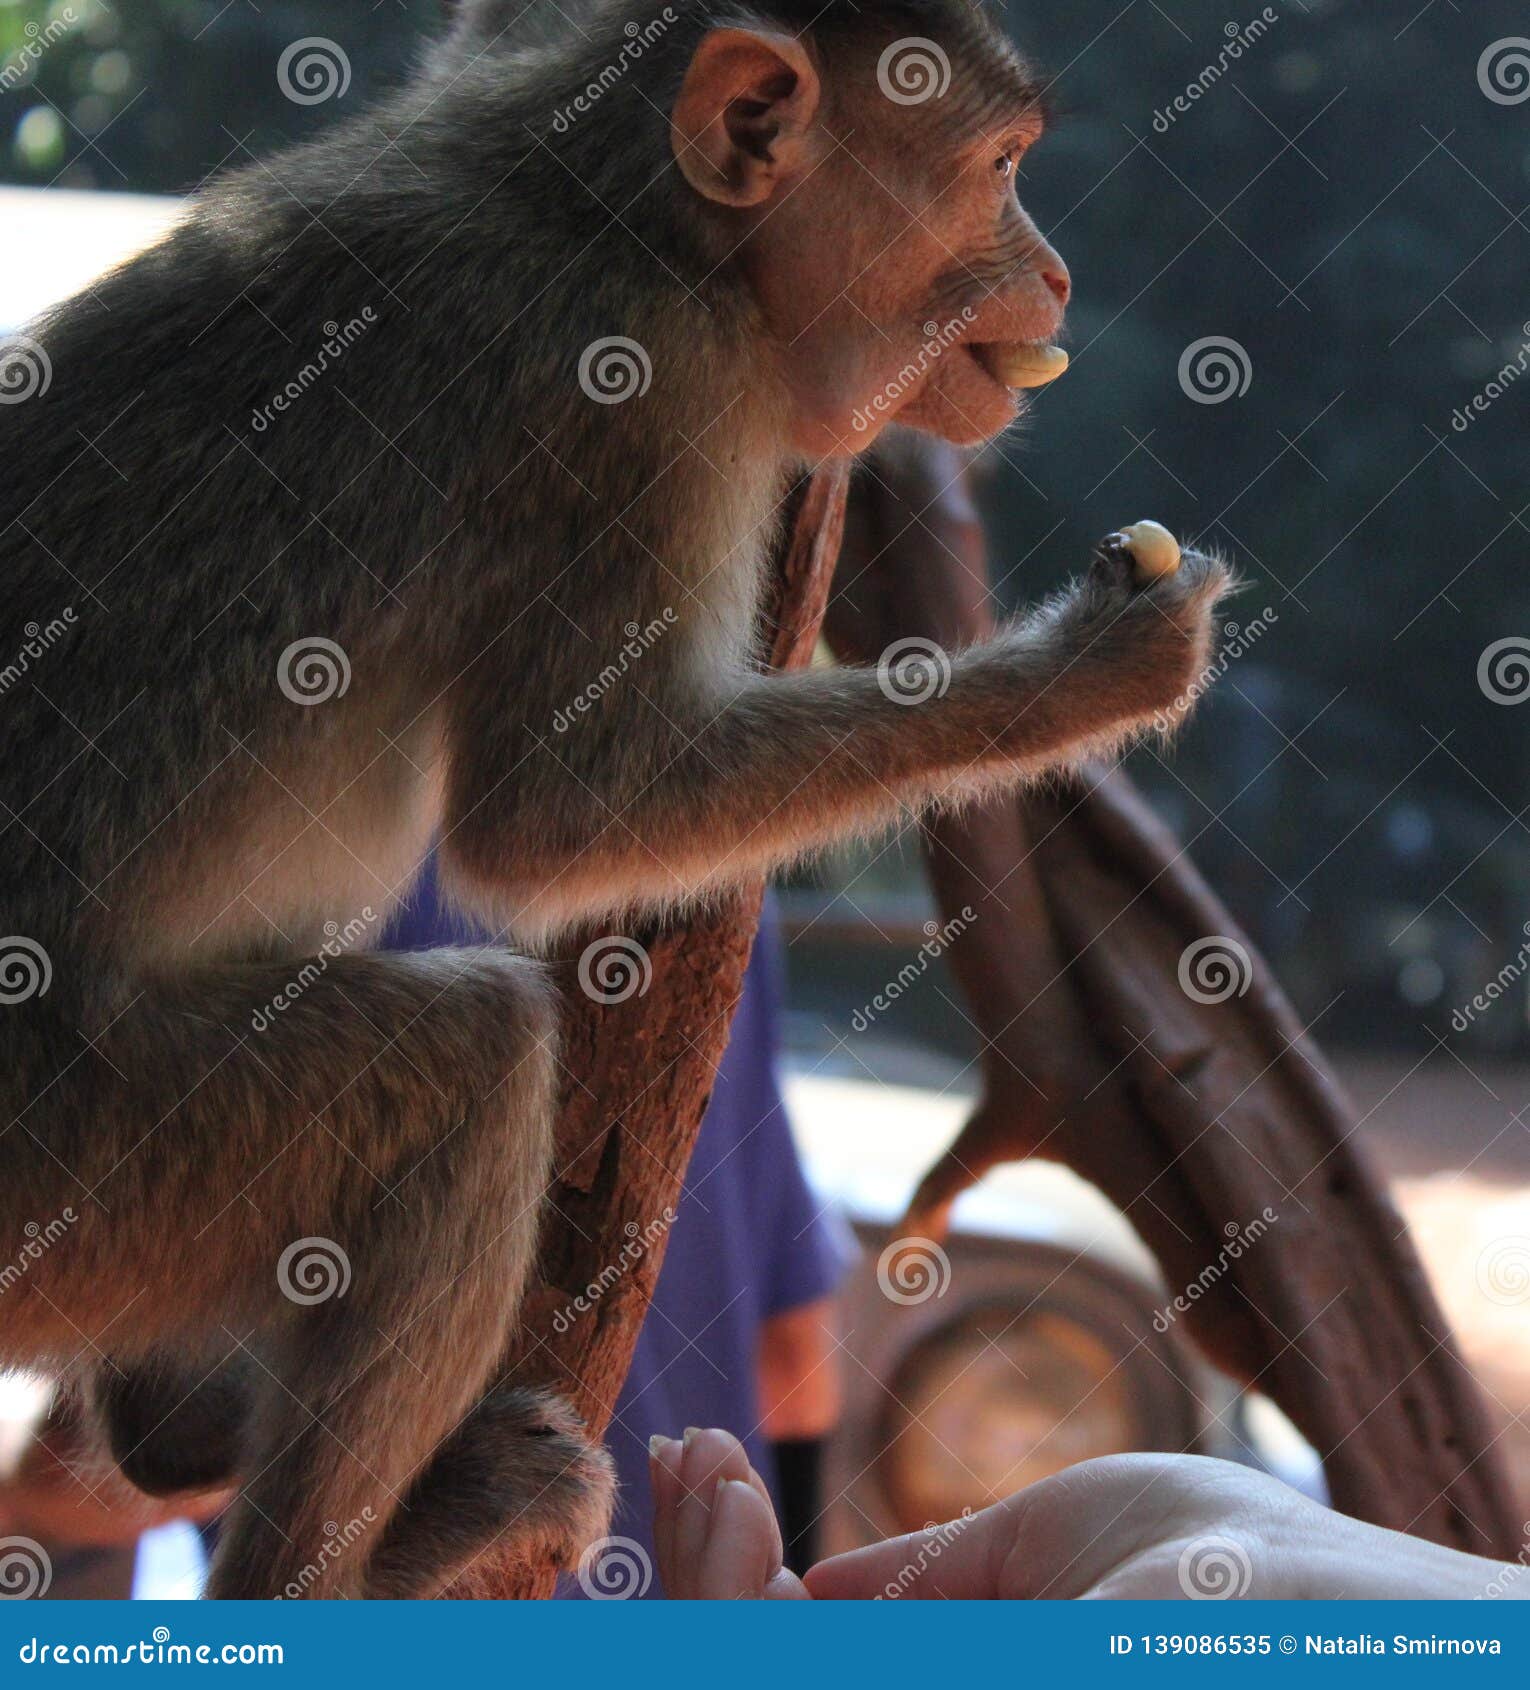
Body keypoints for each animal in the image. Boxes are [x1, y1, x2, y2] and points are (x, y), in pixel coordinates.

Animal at [0, 0, 1232, 1598]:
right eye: (1000, 166)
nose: (1058, 270)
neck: (631, 220)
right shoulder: (643, 393)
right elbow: (561, 812)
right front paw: (1087, 674)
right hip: (78, 1152)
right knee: (465, 1060)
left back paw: (170, 1432)